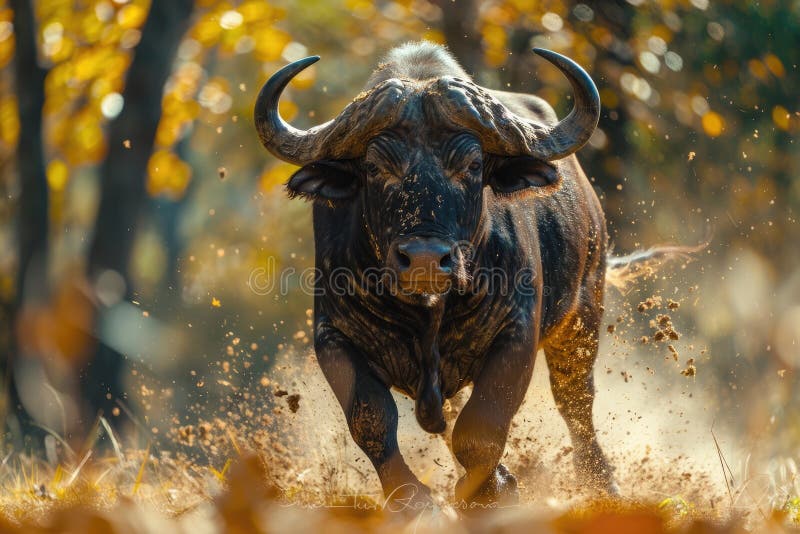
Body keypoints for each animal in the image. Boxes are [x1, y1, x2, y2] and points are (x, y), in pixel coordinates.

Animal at [254, 42, 689, 508]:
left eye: (472, 165)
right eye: (374, 168)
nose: (425, 260)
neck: (428, 311)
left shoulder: (516, 336)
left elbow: (481, 428)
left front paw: (487, 493)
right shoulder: (333, 337)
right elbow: (371, 420)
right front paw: (416, 501)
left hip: (583, 315)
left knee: (575, 400)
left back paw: (600, 484)